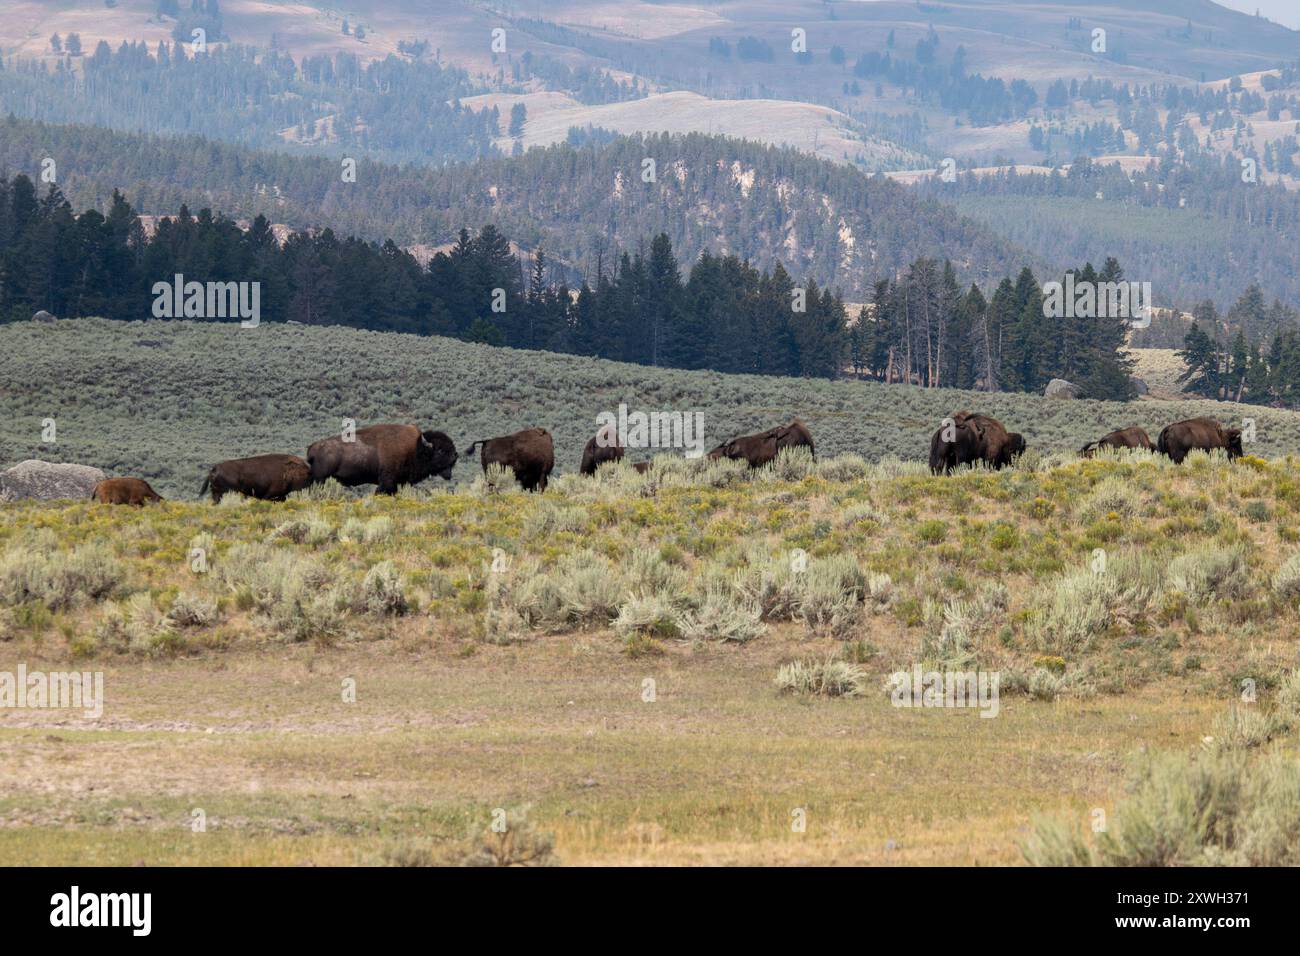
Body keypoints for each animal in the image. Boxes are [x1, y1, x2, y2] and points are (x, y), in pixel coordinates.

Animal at [308, 424, 457, 494]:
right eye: (440, 450)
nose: (455, 456)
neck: (416, 447)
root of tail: (313, 447)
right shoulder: (387, 482)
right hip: (321, 479)